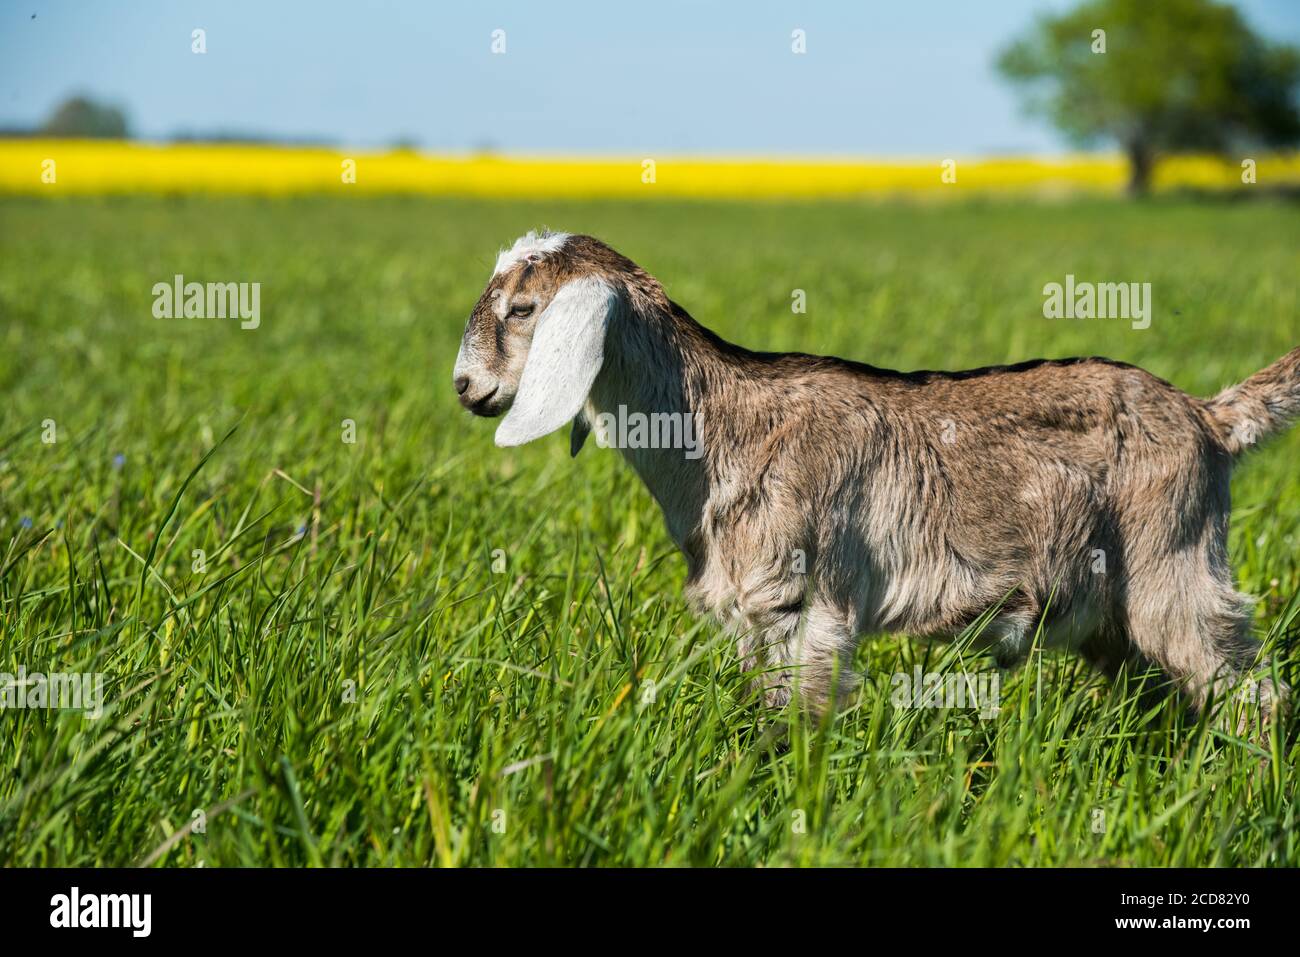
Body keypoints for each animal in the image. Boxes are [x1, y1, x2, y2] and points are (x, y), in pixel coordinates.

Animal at [454, 230, 1299, 719]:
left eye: (524, 308)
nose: (465, 387)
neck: (718, 423)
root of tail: (1207, 416)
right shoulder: (755, 613)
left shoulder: (802, 601)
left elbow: (797, 718)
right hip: (1111, 610)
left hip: (1174, 564)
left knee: (1255, 692)